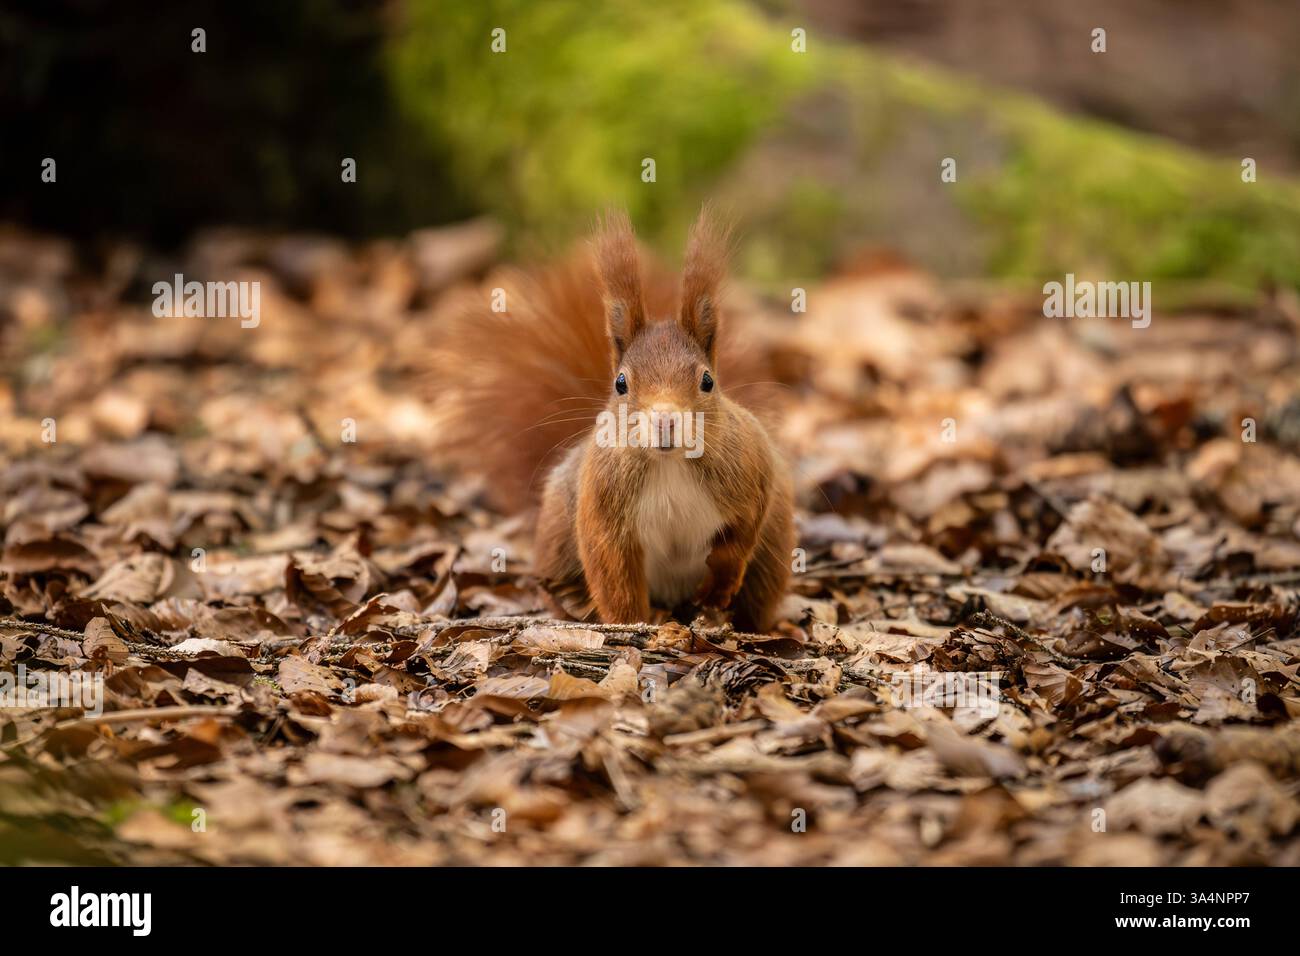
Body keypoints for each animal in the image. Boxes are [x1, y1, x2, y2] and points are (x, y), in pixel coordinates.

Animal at [431, 208, 794, 632]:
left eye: (708, 381)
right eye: (621, 383)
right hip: (558, 541)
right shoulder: (602, 508)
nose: (665, 421)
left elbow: (740, 537)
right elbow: (614, 575)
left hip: (772, 551)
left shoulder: (753, 474)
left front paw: (719, 587)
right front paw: (632, 624)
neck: (669, 464)